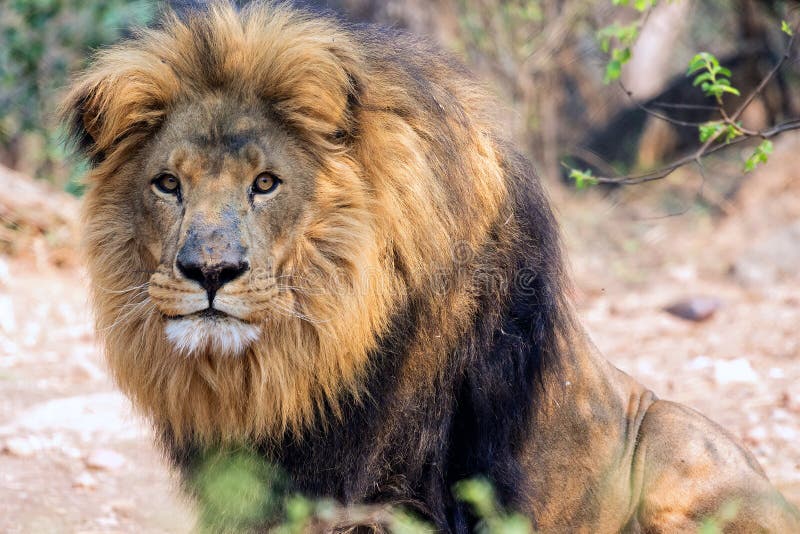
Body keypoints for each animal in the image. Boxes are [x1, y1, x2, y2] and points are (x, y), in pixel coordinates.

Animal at [62, 1, 799, 532]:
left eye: (265, 184)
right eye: (168, 185)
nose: (209, 272)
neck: (294, 364)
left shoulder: (391, 485)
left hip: (671, 438)